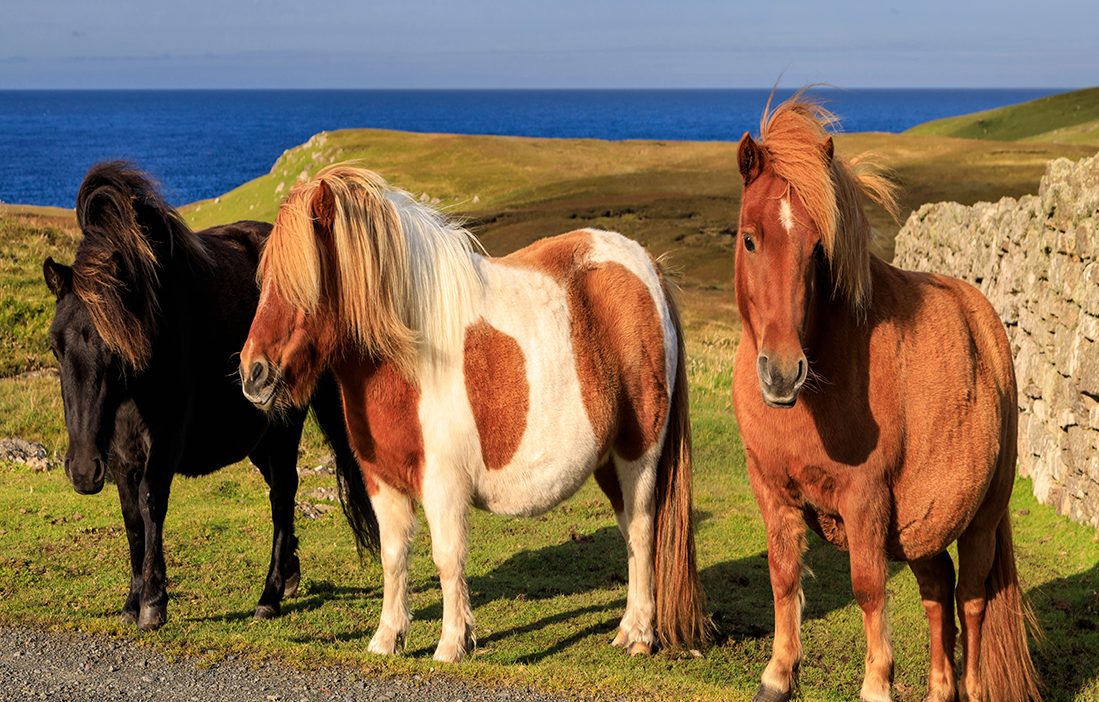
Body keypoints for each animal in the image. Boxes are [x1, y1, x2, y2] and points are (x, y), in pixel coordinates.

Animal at [42, 162, 378, 630]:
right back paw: (289, 575)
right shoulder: (119, 452)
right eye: (55, 346)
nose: (82, 470)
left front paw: (153, 603)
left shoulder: (164, 443)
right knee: (279, 489)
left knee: (283, 493)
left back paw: (270, 595)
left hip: (283, 422)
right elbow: (131, 518)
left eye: (114, 350)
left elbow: (151, 505)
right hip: (256, 436)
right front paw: (131, 601)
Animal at [236, 164, 710, 662]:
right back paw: (626, 631)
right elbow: (393, 556)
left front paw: (451, 644)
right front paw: (386, 640)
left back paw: (639, 636)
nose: (253, 374)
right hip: (608, 461)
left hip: (638, 455)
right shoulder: (382, 482)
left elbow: (447, 558)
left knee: (642, 530)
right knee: (629, 534)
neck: (410, 359)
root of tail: (647, 267)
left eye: (306, 281)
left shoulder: (443, 484)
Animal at [731, 93, 1042, 702]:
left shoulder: (865, 498)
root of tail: (988, 323)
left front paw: (877, 682)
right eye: (749, 238)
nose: (782, 373)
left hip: (982, 519)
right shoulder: (771, 488)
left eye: (817, 249)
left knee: (970, 601)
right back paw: (941, 689)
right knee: (937, 592)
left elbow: (868, 587)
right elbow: (782, 575)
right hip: (923, 523)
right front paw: (778, 673)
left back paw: (970, 687)